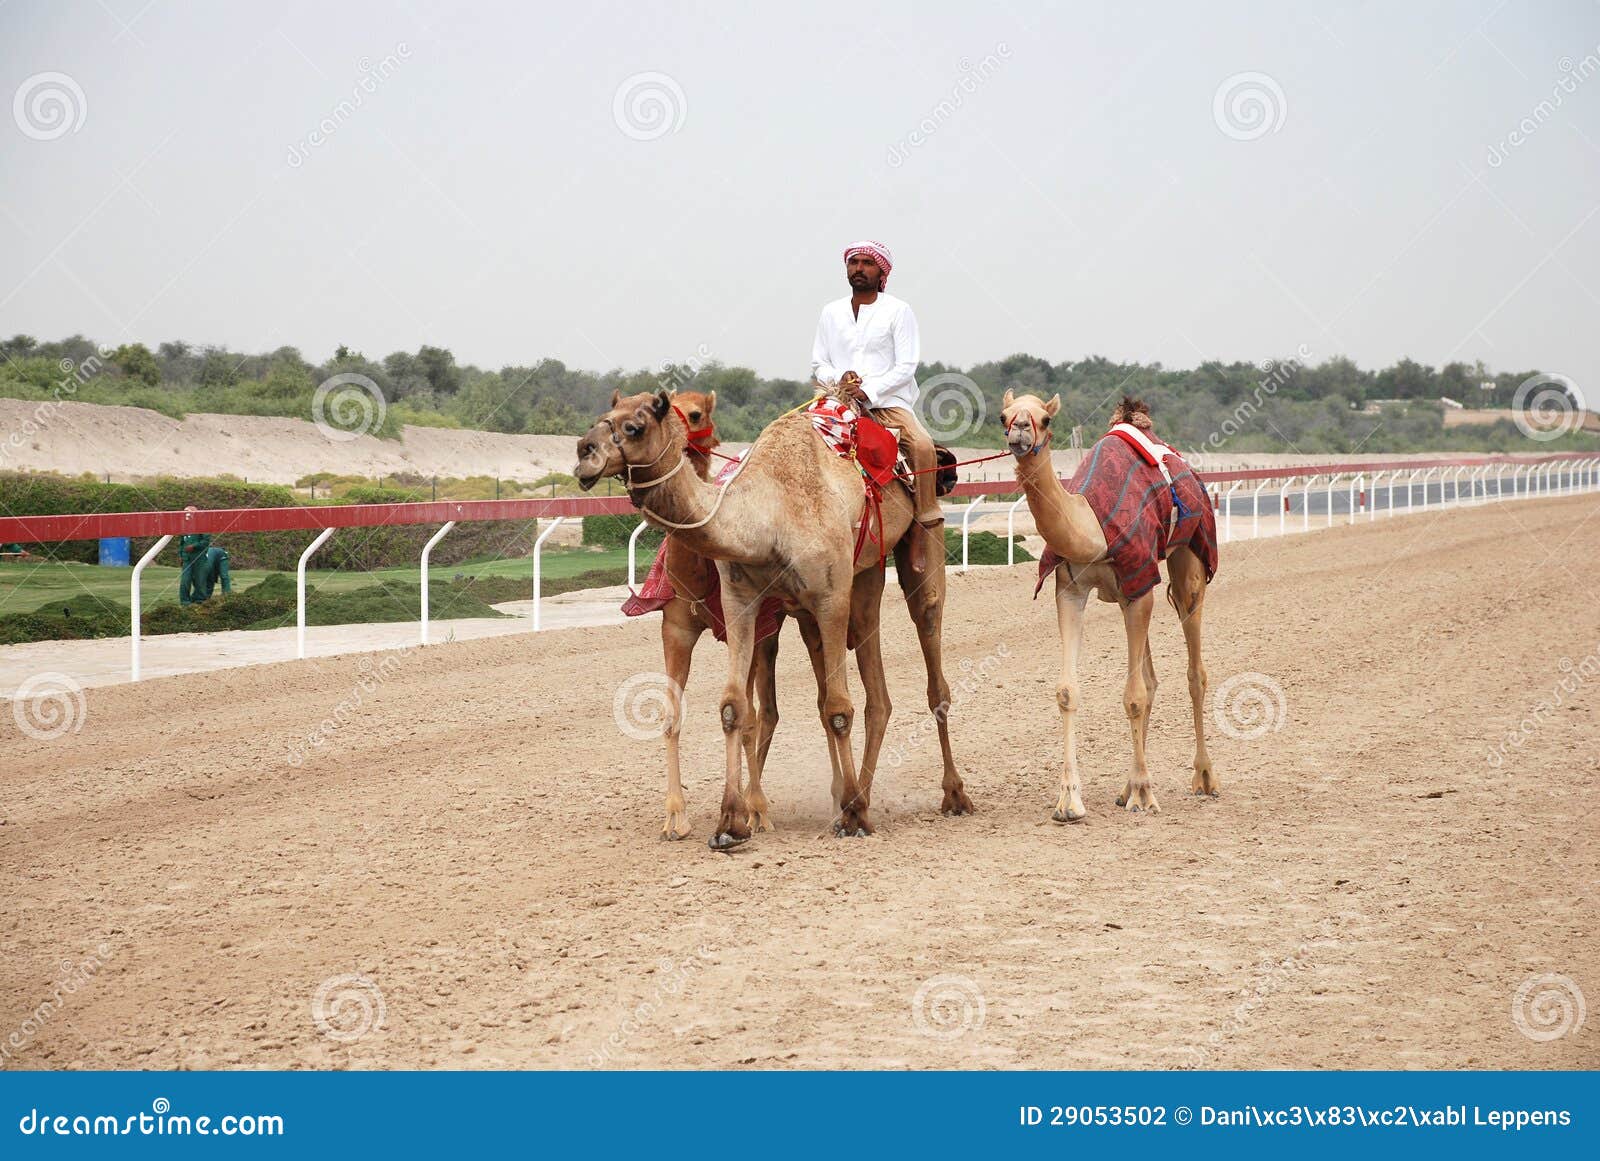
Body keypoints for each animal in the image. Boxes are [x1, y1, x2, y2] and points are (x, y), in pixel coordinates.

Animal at [575, 388, 973, 850]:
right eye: (601, 417)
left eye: (634, 426)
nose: (584, 454)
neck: (768, 517)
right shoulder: (741, 601)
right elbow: (734, 707)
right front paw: (730, 823)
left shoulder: (829, 597)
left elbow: (838, 708)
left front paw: (850, 819)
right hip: (864, 575)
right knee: (877, 691)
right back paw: (858, 796)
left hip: (916, 545)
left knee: (929, 643)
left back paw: (949, 795)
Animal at [1000, 390, 1218, 821]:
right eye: (1003, 415)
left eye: (1045, 420)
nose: (1019, 431)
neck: (1094, 531)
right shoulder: (1070, 589)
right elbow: (1068, 691)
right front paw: (1069, 801)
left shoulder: (1138, 586)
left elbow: (1133, 696)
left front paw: (1144, 796)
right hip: (1132, 591)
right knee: (1151, 679)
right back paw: (1125, 786)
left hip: (1188, 561)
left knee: (1194, 672)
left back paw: (1203, 778)